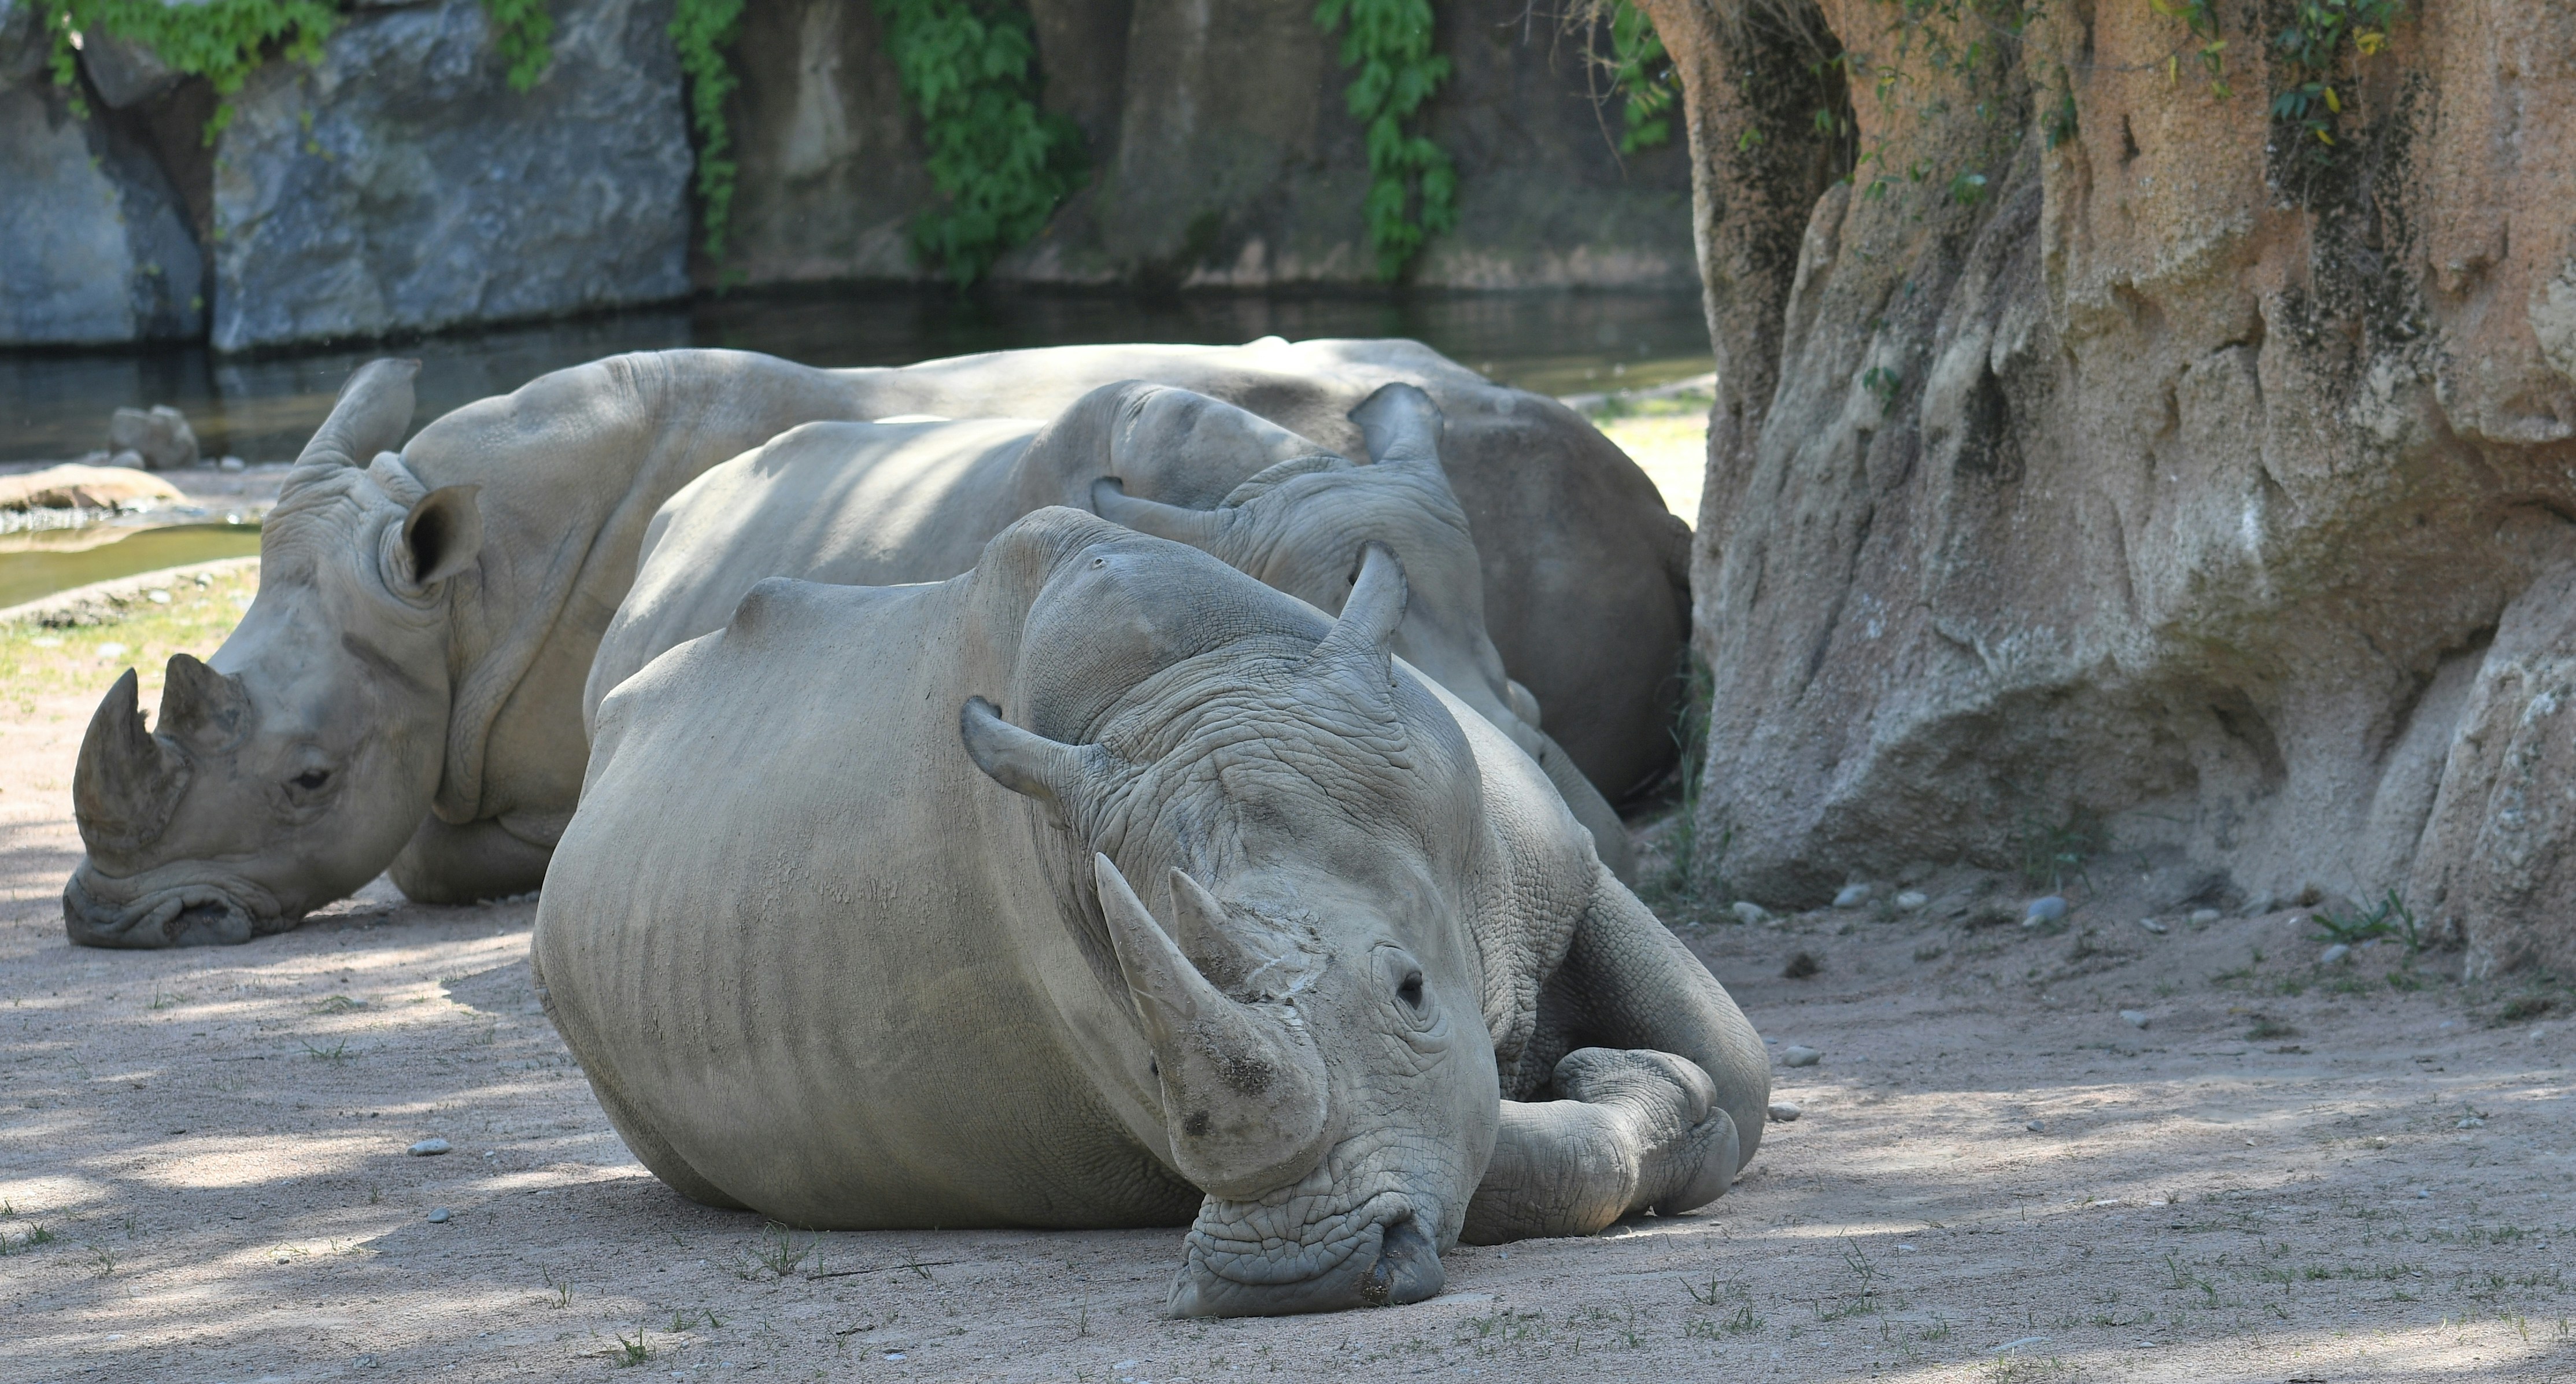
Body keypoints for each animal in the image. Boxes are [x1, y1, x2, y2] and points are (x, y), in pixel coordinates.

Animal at [533, 506, 1766, 1316]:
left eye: (1413, 989)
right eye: (1164, 1069)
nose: (1286, 1279)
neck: (1202, 675)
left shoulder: (1562, 863)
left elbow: (1737, 1069)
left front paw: (1637, 1083)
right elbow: (1506, 1156)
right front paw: (1636, 1091)